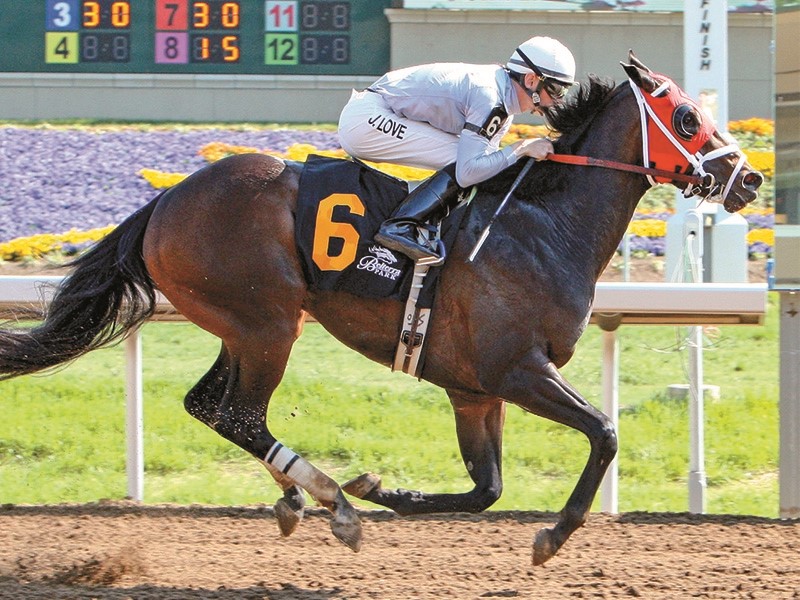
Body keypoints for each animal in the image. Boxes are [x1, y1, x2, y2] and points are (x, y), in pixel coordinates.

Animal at [0, 52, 763, 565]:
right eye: (688, 117)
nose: (749, 178)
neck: (544, 226)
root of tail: (165, 200)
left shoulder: (474, 389)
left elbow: (485, 489)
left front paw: (383, 490)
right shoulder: (517, 370)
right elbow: (603, 433)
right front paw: (551, 534)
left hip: (242, 326)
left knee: (210, 406)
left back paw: (303, 497)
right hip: (269, 323)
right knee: (239, 414)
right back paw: (331, 503)